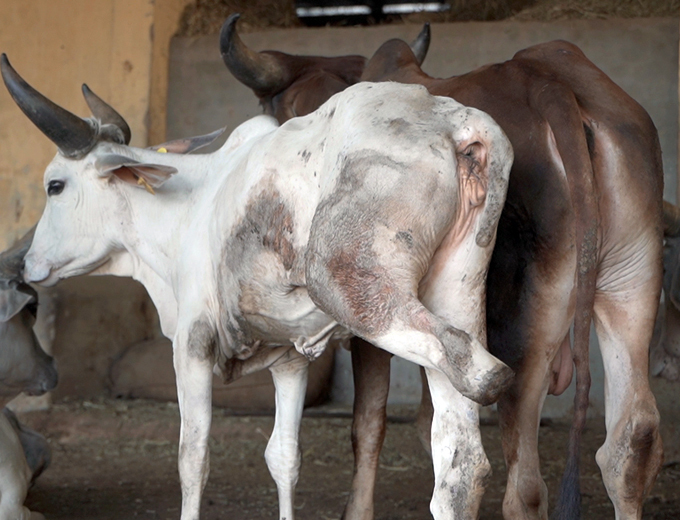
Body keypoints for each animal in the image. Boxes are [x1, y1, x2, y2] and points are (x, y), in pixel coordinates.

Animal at [2, 55, 515, 520]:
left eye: (55, 186)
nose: (29, 264)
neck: (189, 204)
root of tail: (456, 124)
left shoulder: (192, 343)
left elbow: (193, 458)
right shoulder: (291, 357)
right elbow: (284, 458)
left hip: (358, 292)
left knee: (480, 371)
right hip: (456, 289)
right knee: (461, 460)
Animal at [220, 17, 666, 520]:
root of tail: (550, 83)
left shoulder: (371, 328)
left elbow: (368, 423)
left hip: (525, 319)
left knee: (526, 486)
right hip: (632, 279)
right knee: (630, 442)